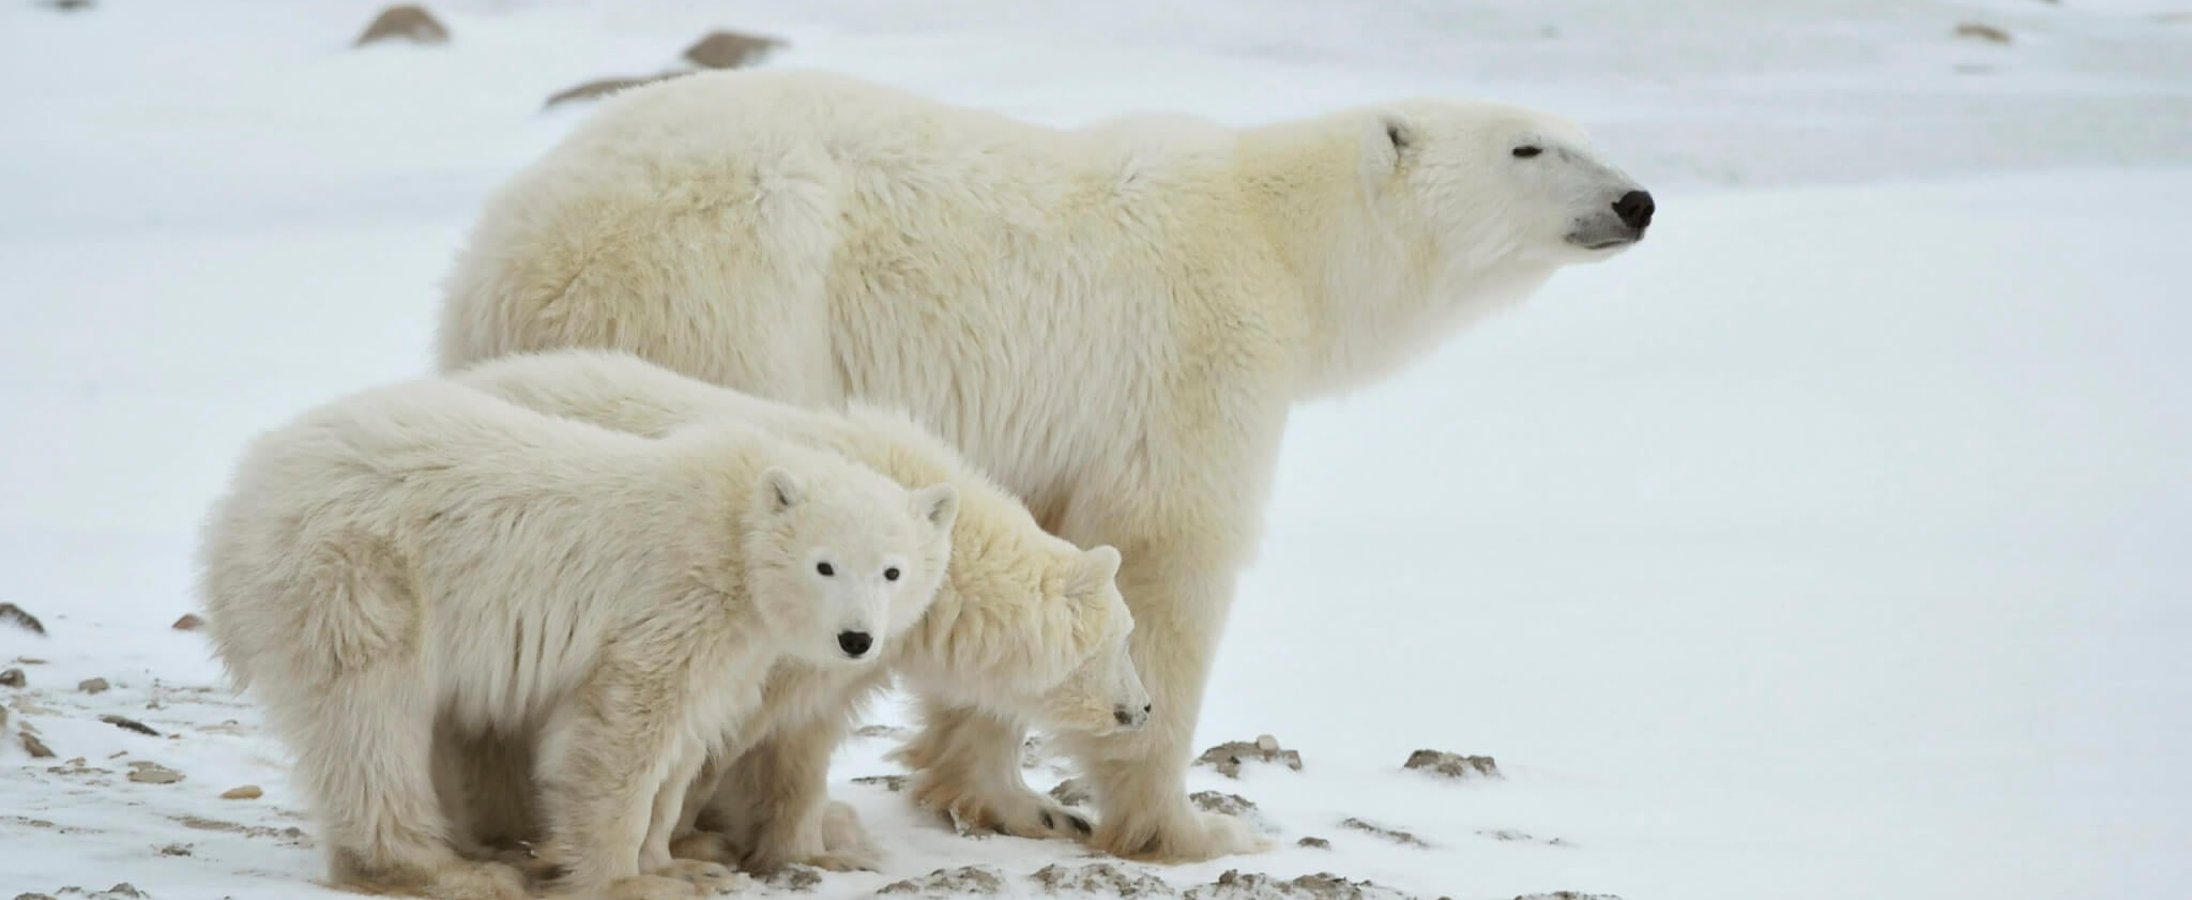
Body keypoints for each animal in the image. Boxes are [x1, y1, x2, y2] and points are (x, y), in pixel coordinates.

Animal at [195, 376, 957, 900]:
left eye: (893, 570)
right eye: (824, 564)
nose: (856, 639)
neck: (731, 524)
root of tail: (238, 500)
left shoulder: (735, 645)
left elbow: (683, 742)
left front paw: (680, 862)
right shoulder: (672, 600)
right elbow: (623, 731)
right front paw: (632, 879)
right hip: (360, 574)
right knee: (370, 720)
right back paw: (450, 871)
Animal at [444, 348, 1157, 872]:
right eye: (1124, 639)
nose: (1144, 708)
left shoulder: (844, 651)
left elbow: (799, 741)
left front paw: (810, 852)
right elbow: (719, 734)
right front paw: (690, 841)